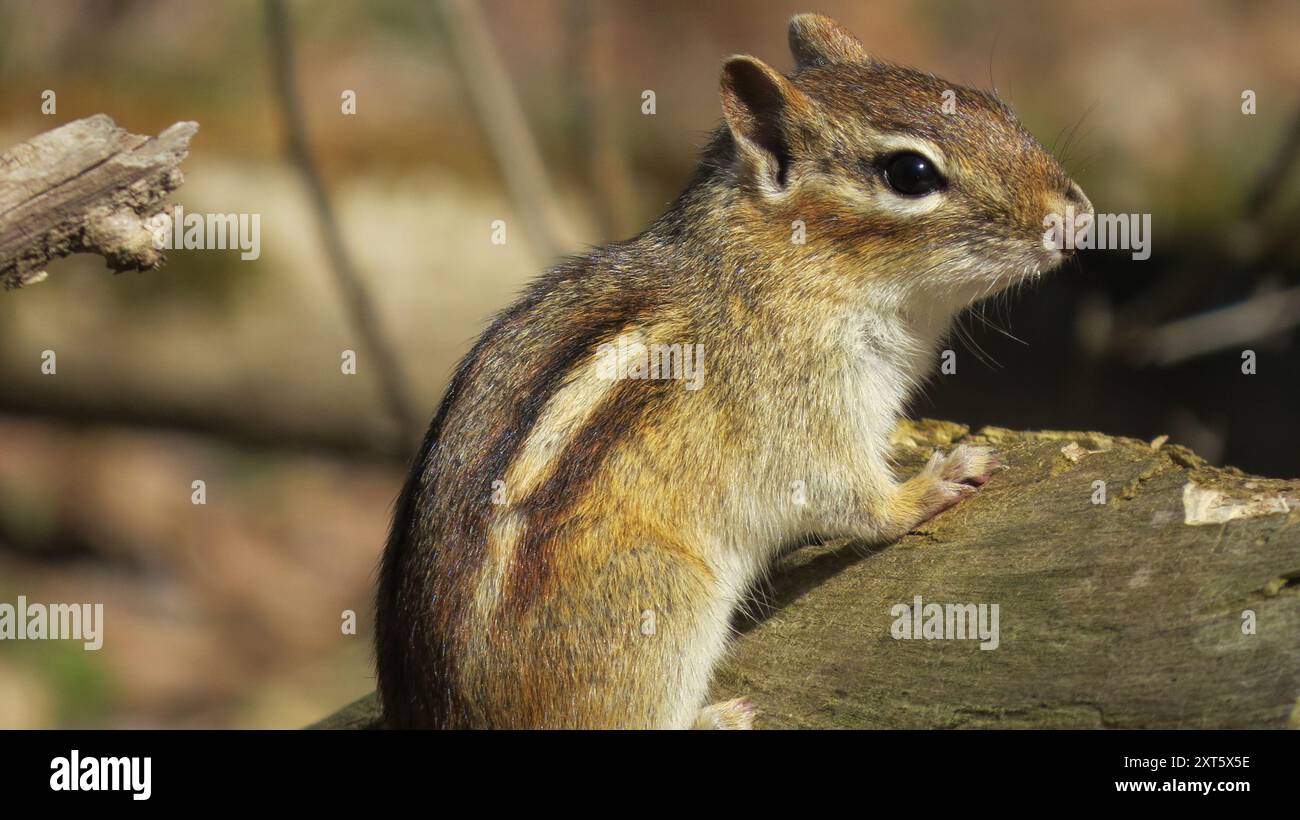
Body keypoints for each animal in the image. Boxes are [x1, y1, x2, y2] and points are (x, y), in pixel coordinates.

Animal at [376, 13, 1092, 729]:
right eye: (910, 173)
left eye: (997, 106)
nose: (1078, 219)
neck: (781, 265)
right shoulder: (800, 413)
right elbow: (856, 502)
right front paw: (936, 482)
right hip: (662, 596)